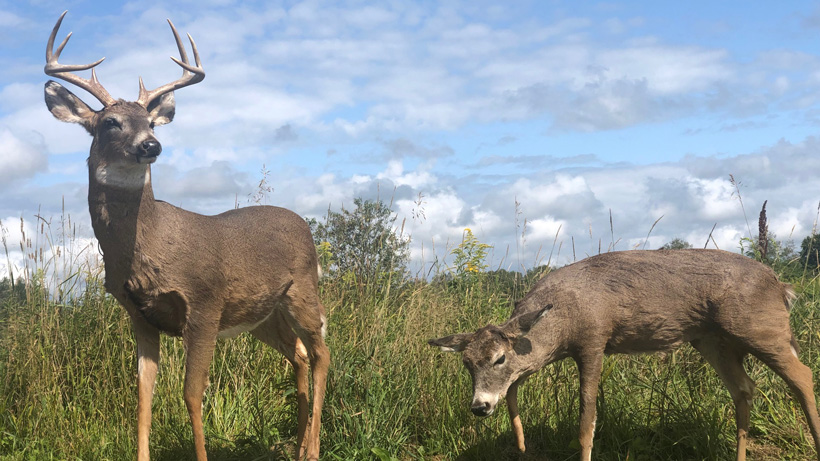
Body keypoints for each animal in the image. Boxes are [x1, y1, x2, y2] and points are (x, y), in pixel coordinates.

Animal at [42, 11, 329, 461]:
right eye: (110, 122)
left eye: (151, 122)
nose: (151, 145)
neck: (149, 246)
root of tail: (303, 223)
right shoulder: (139, 315)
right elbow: (143, 396)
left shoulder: (205, 303)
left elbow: (192, 395)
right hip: (262, 314)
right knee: (299, 356)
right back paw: (298, 446)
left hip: (302, 290)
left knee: (321, 353)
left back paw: (313, 447)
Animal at [429, 249, 820, 461]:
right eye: (466, 363)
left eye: (499, 358)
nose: (479, 407)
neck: (562, 318)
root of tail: (781, 285)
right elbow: (514, 391)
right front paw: (522, 445)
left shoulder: (593, 340)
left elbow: (586, 419)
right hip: (713, 341)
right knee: (744, 388)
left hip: (760, 328)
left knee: (803, 376)